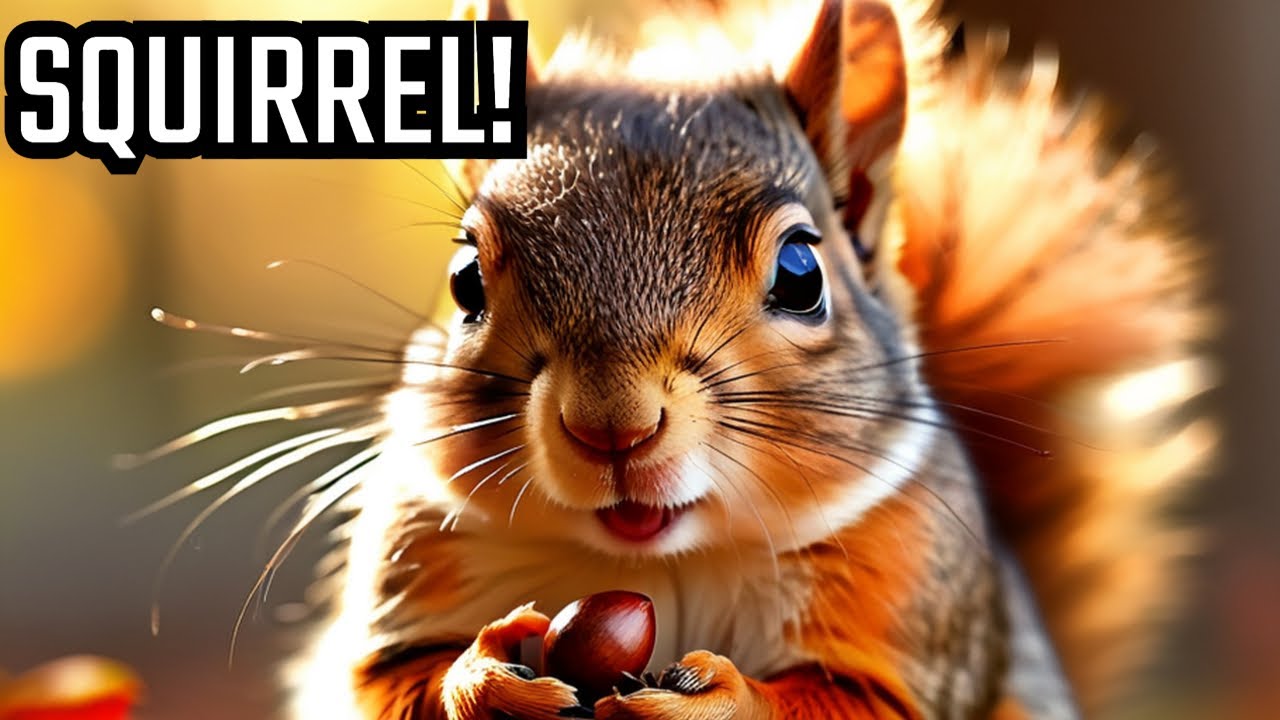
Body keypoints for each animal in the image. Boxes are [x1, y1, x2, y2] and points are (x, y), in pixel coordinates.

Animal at [150, 0, 1209, 718]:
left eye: (801, 272)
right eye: (463, 280)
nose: (611, 424)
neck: (668, 562)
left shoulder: (915, 609)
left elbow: (854, 704)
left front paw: (718, 702)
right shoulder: (408, 565)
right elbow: (395, 681)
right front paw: (487, 673)